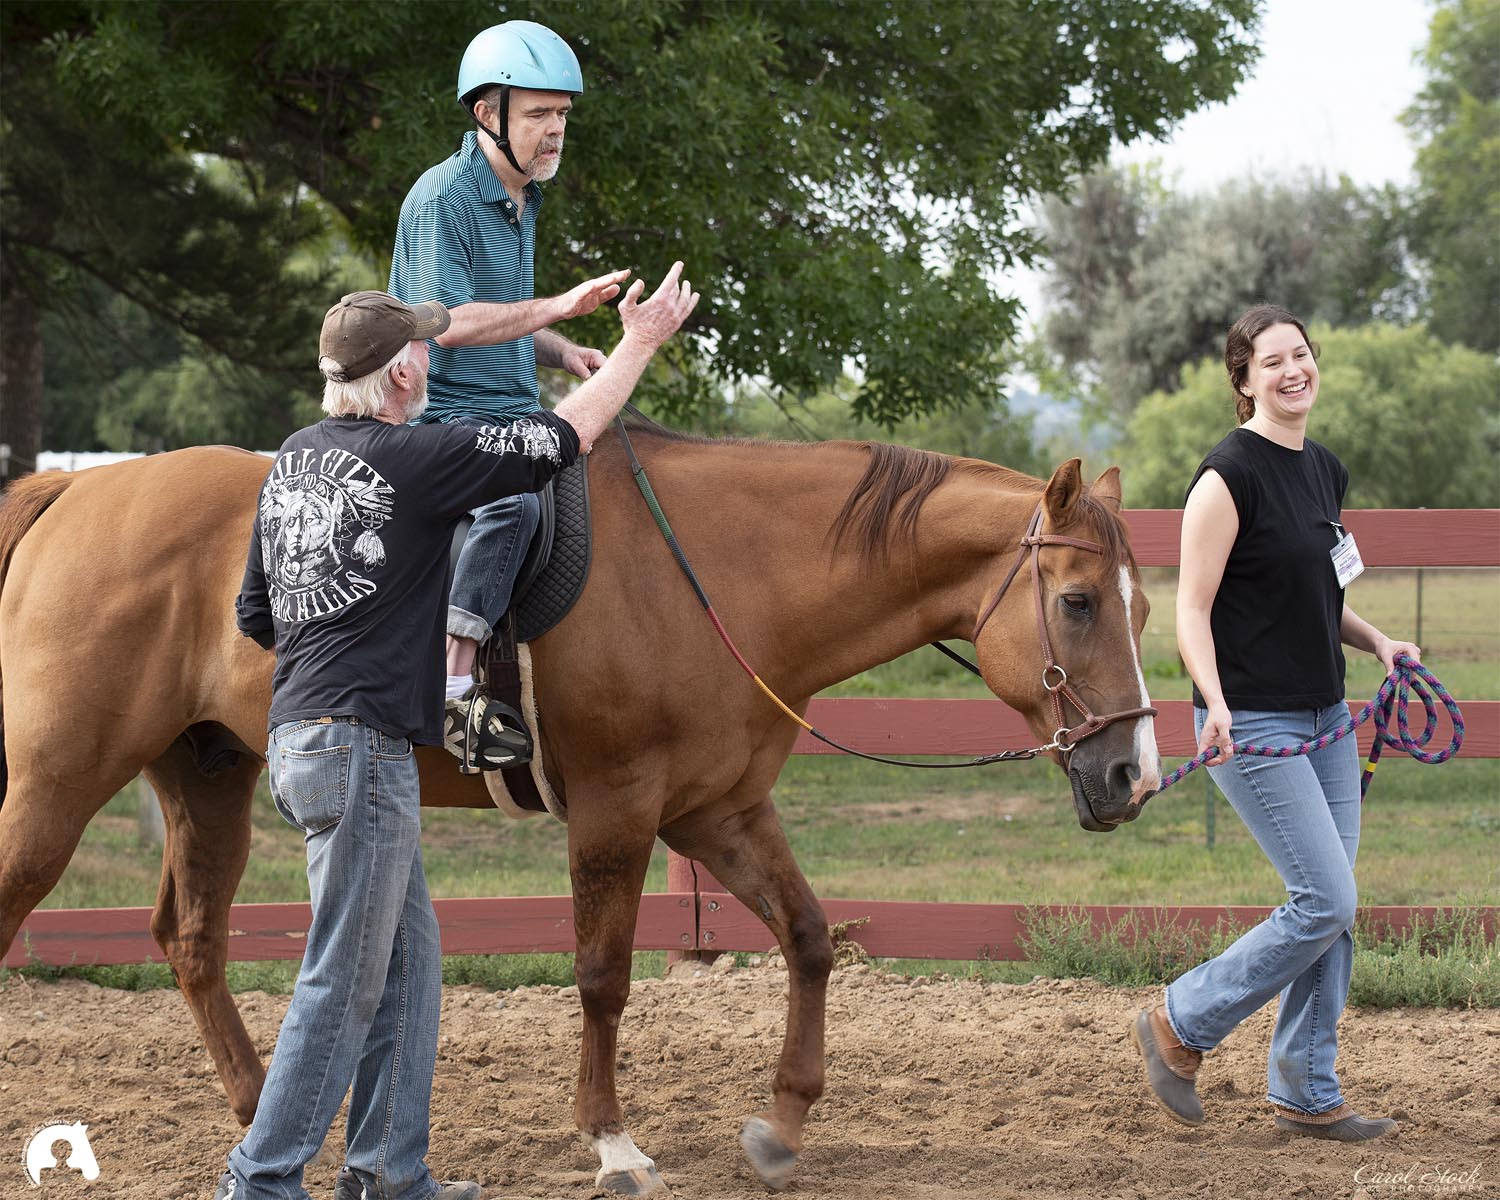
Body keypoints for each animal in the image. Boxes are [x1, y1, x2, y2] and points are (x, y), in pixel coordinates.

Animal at [0, 426, 1161, 1195]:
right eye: (1077, 603)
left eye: (1141, 606)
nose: (1130, 775)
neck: (730, 572)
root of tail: (73, 496)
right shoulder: (620, 808)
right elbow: (603, 977)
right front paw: (611, 1140)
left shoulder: (720, 810)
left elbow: (810, 938)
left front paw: (783, 1121)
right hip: (60, 780)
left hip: (207, 775)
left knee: (190, 938)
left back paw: (261, 1112)